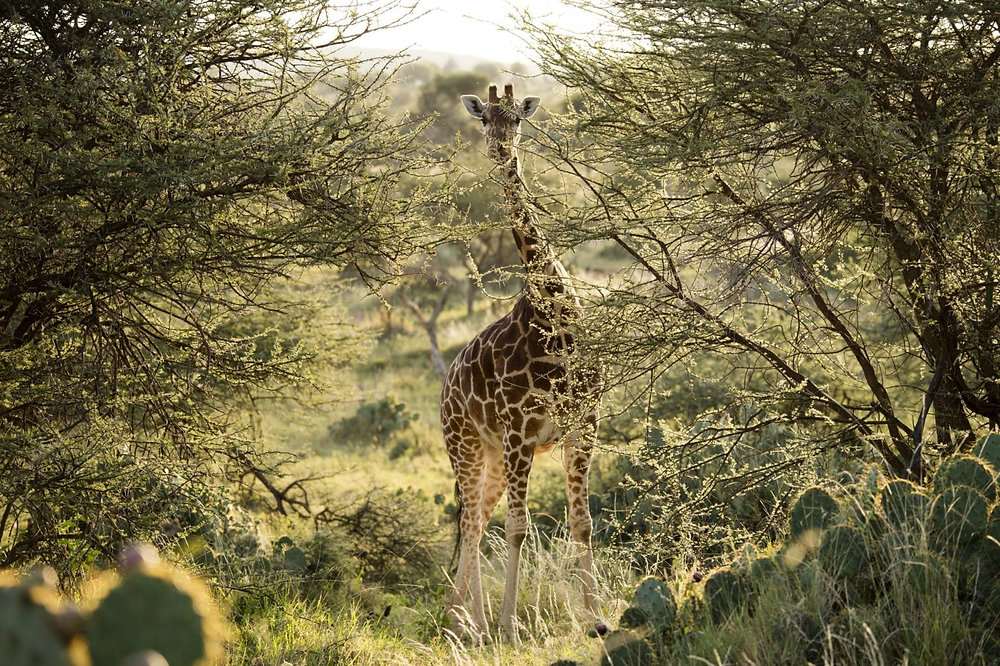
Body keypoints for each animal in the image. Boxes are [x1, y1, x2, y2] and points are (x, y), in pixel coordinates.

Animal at [440, 83, 603, 644]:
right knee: (472, 523)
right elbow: (519, 527)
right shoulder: (520, 432)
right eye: (483, 119)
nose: (498, 148)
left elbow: (581, 522)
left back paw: (460, 618)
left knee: (476, 522)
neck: (553, 313)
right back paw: (479, 626)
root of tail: (443, 388)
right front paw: (512, 625)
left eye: (516, 119)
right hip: (466, 445)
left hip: (490, 455)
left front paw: (597, 617)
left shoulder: (583, 426)